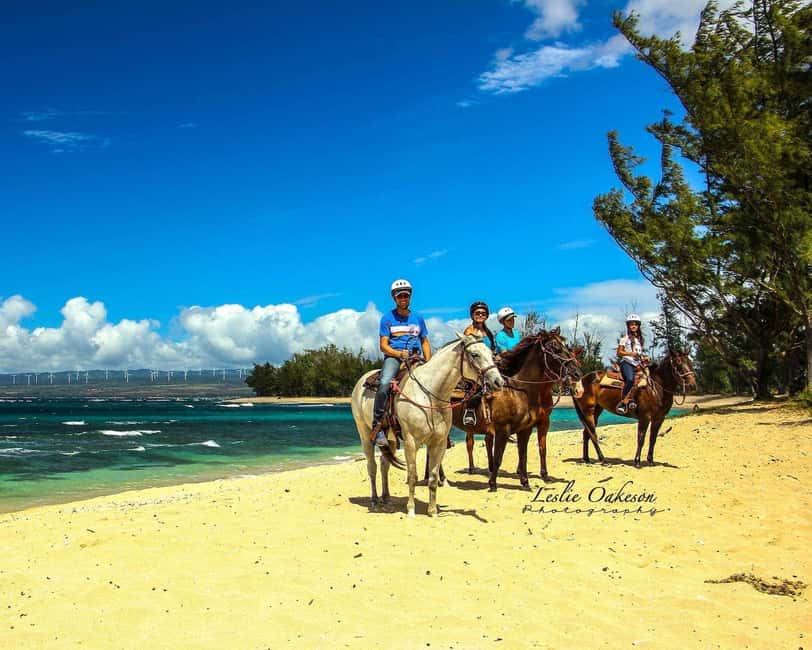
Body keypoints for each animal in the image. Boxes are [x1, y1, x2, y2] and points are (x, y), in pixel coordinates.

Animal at [351, 333, 505, 517]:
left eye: (491, 353)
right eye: (475, 354)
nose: (498, 382)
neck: (430, 396)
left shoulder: (438, 443)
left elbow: (432, 477)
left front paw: (432, 511)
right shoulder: (411, 443)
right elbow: (412, 476)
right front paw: (411, 510)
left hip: (391, 438)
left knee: (384, 465)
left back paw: (386, 498)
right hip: (365, 434)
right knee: (372, 466)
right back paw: (374, 501)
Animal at [452, 328, 585, 491]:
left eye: (566, 346)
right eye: (554, 347)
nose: (577, 373)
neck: (518, 392)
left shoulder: (527, 429)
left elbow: (525, 454)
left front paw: (526, 481)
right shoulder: (503, 430)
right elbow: (498, 457)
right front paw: (493, 484)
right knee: (469, 444)